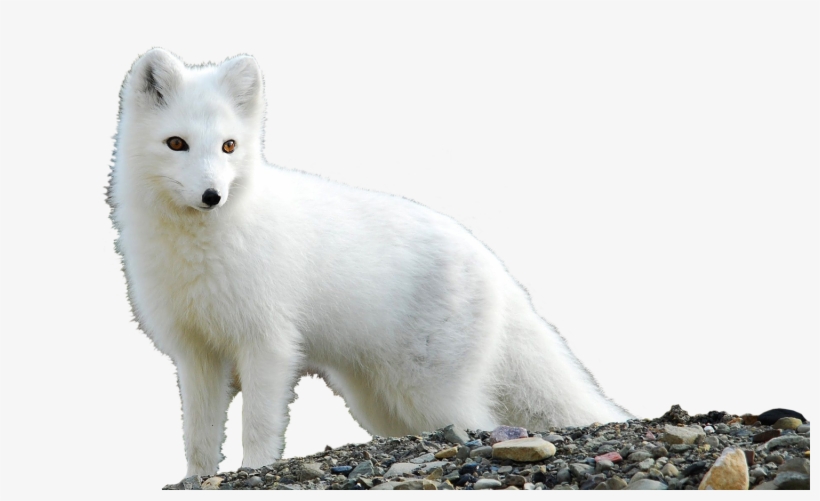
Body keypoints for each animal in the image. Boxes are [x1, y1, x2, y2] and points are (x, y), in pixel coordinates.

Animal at [107, 48, 632, 477]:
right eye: (176, 143)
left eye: (229, 146)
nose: (212, 196)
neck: (198, 249)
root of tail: (492, 263)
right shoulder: (195, 352)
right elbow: (197, 435)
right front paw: (195, 479)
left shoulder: (268, 343)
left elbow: (258, 424)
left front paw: (253, 470)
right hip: (377, 398)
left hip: (429, 392)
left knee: (479, 424)